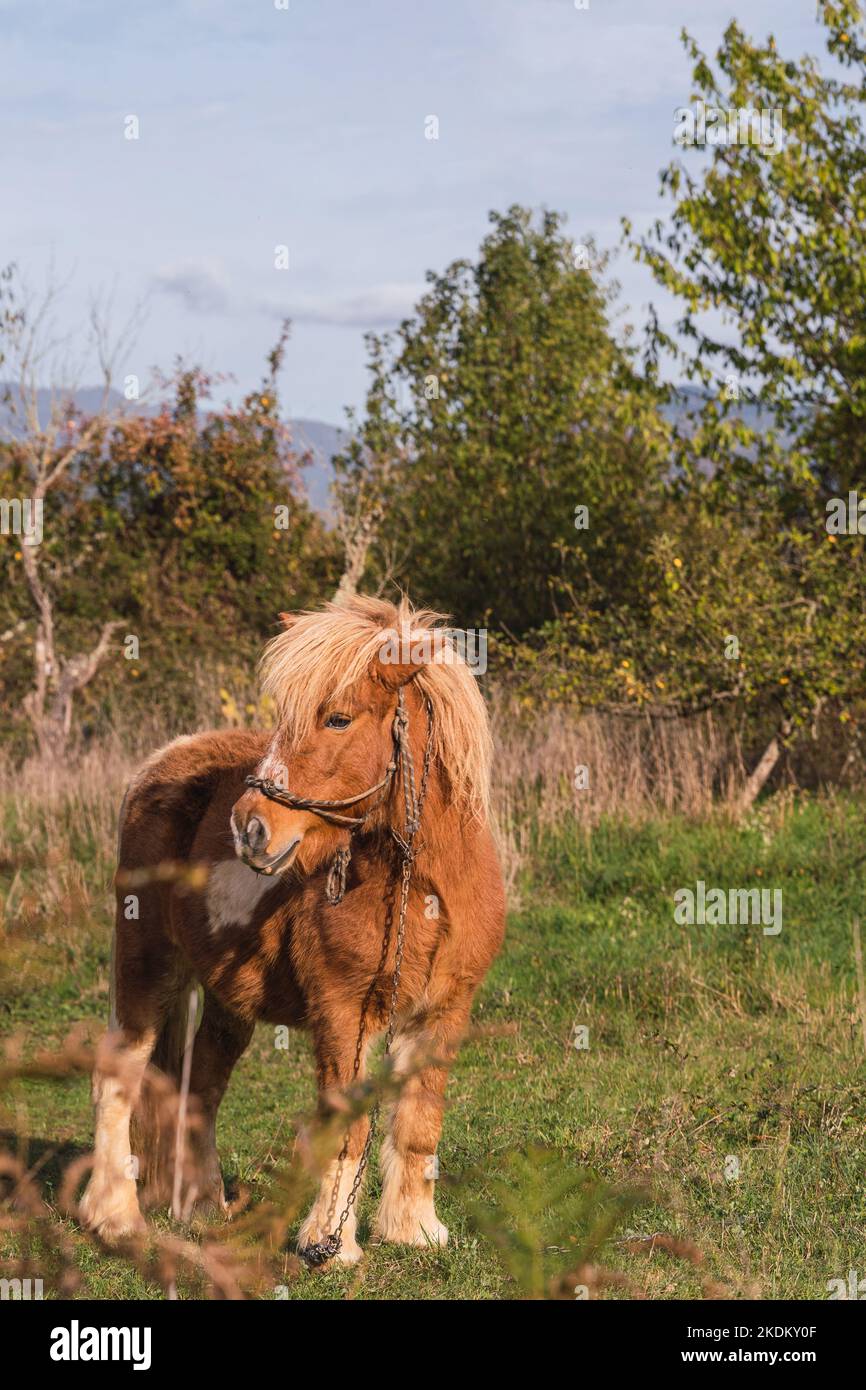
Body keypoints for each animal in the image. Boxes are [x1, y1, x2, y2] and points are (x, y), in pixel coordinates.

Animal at [79, 594, 506, 1265]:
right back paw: (116, 1219)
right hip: (146, 966)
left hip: (228, 998)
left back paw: (204, 1206)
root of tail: (161, 761)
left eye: (337, 719)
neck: (422, 887)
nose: (250, 828)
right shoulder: (343, 1013)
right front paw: (331, 1243)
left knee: (201, 1087)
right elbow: (348, 1126)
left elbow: (419, 1121)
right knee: (118, 1078)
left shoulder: (444, 1010)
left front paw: (413, 1230)